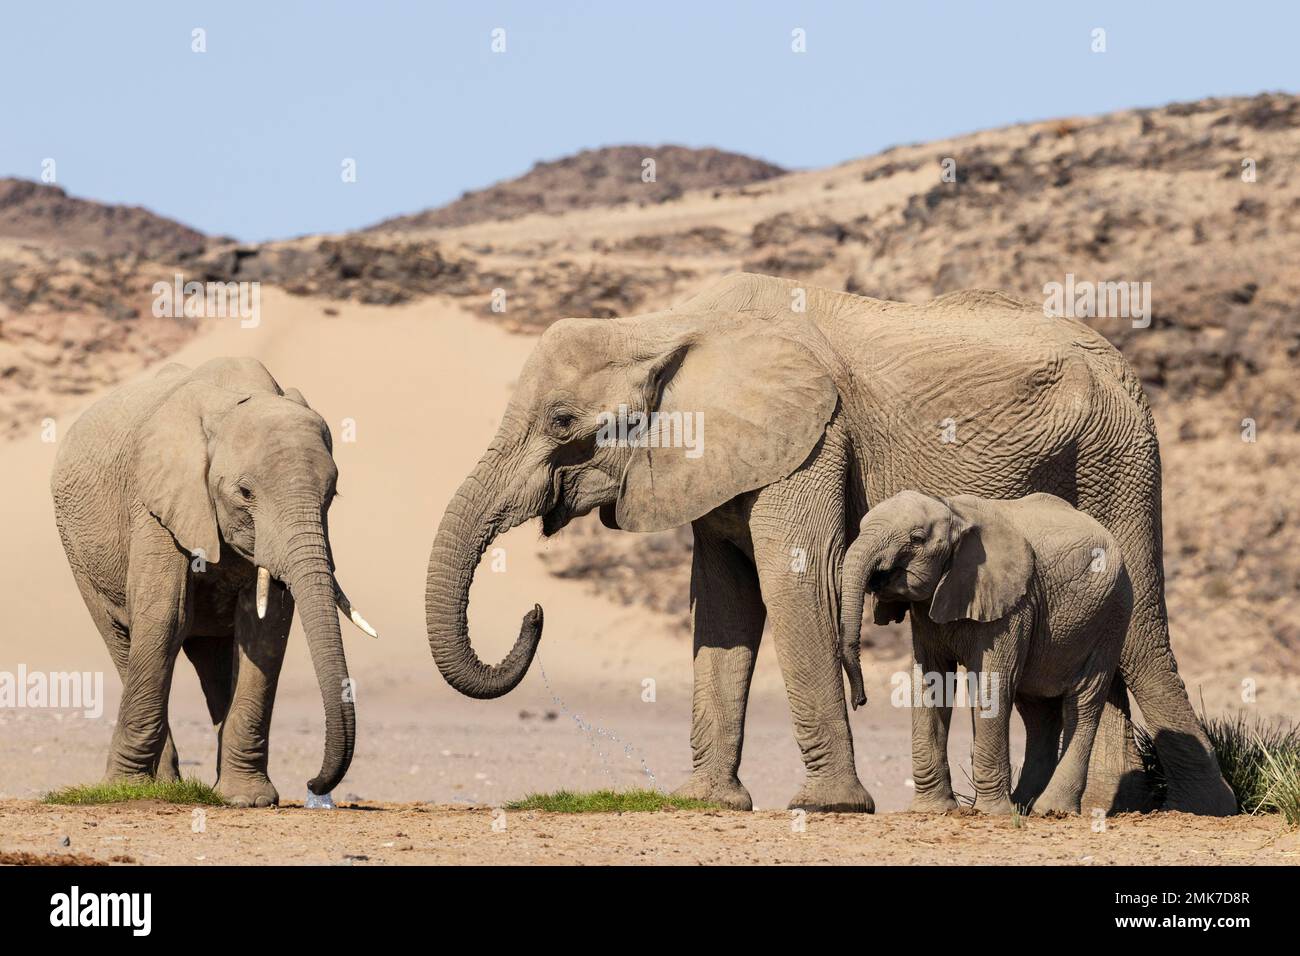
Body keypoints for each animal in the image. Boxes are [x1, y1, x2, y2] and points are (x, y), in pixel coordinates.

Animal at [50, 357, 376, 807]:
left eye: (332, 494)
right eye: (245, 493)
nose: (314, 785)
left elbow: (265, 630)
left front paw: (247, 800)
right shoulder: (156, 502)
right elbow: (165, 618)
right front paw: (122, 790)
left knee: (215, 660)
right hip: (78, 555)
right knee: (124, 639)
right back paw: (162, 786)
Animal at [839, 490, 1131, 815]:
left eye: (917, 539)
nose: (860, 701)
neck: (954, 512)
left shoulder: (1012, 605)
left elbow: (993, 683)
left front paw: (992, 812)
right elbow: (931, 681)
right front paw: (932, 809)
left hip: (1111, 616)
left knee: (1083, 702)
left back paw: (1050, 809)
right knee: (1037, 711)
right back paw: (1024, 805)